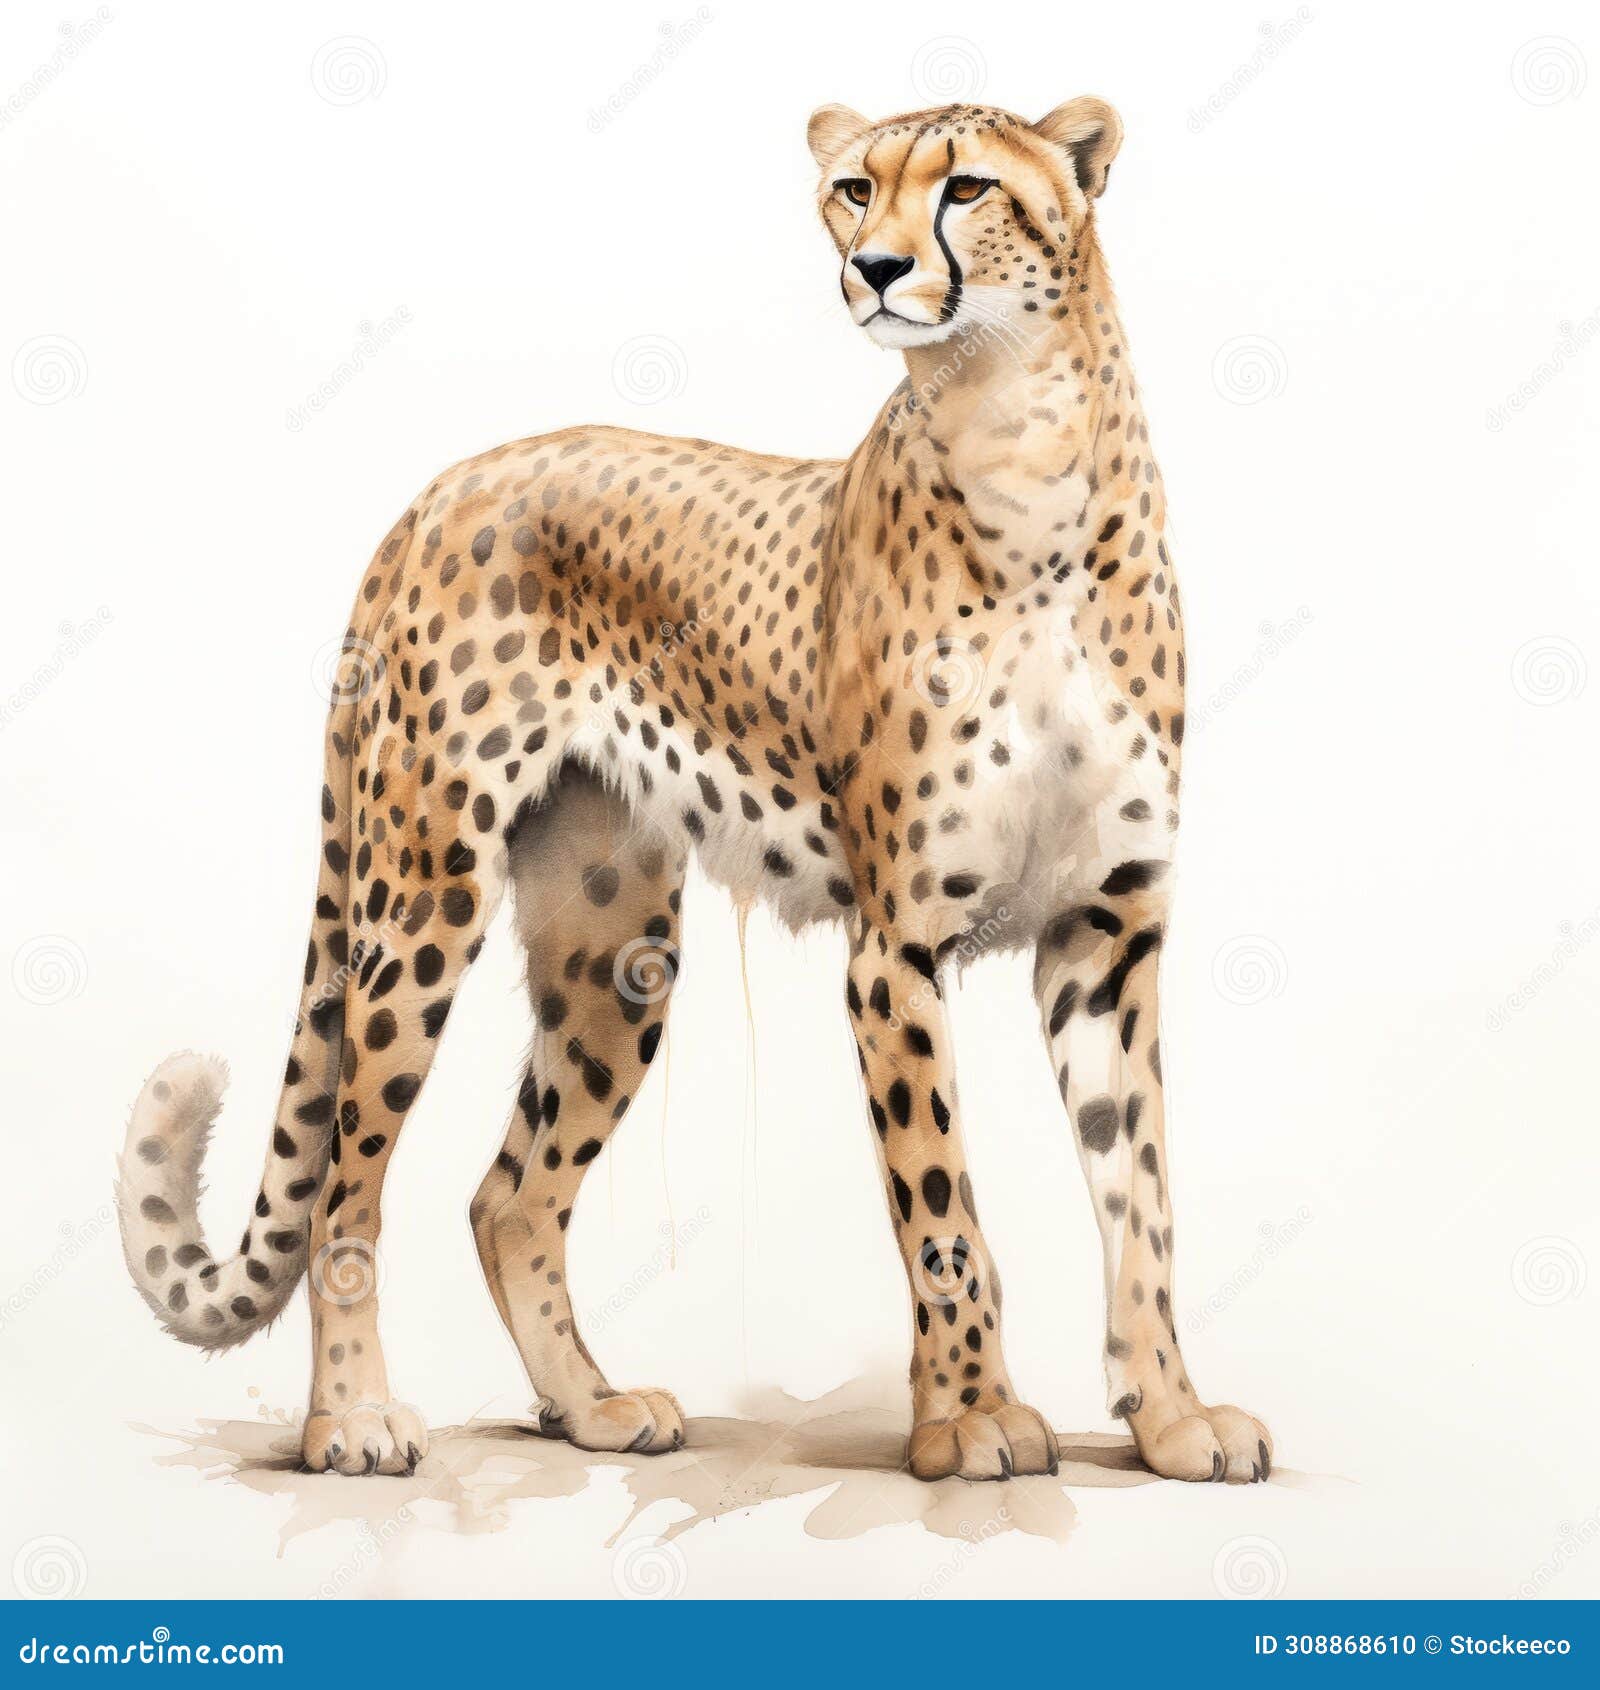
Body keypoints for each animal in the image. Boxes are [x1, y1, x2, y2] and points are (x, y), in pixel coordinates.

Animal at [117, 96, 1273, 1486]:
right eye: (853, 188)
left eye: (968, 189)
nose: (876, 268)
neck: (1022, 446)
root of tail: (442, 486)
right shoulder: (896, 946)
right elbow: (942, 1203)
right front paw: (970, 1419)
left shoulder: (1104, 935)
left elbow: (1138, 1195)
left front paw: (1170, 1417)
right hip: (422, 897)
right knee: (352, 1174)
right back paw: (349, 1420)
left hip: (614, 946)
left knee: (507, 1194)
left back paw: (591, 1405)